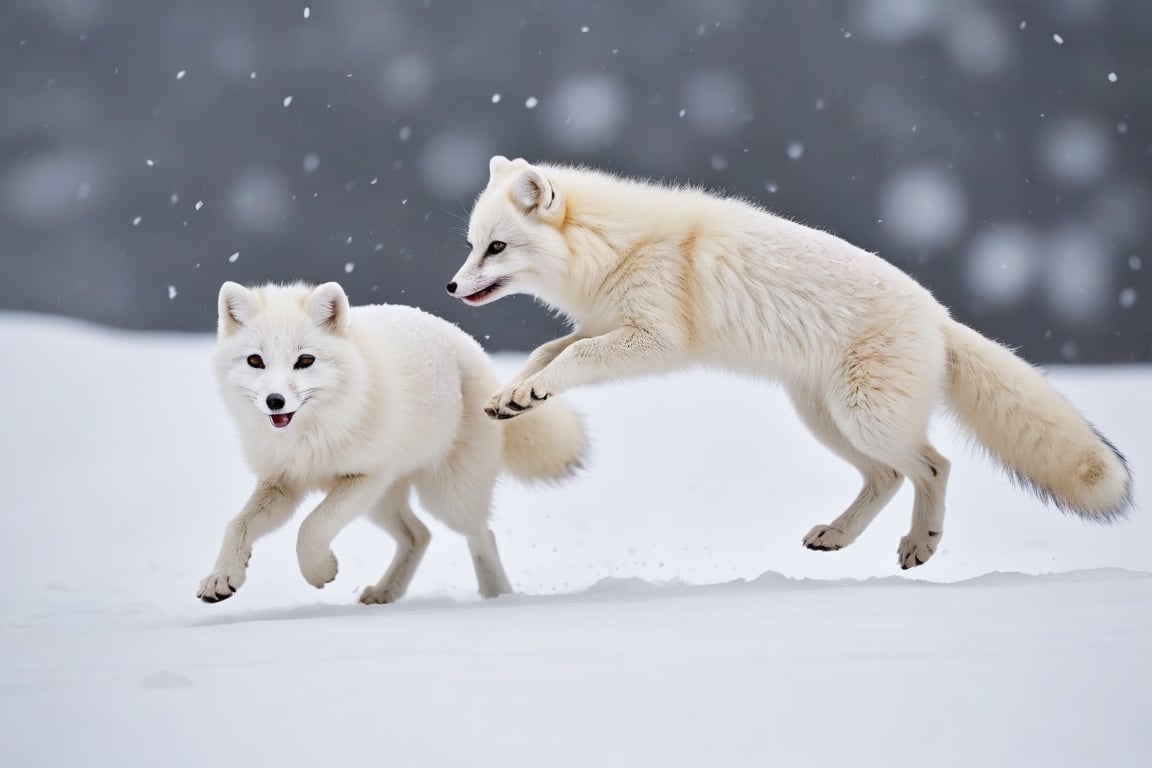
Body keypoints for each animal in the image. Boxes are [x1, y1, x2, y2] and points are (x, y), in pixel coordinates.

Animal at [197, 281, 585, 604]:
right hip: (382, 503)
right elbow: (238, 524)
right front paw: (222, 577)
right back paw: (386, 592)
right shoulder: (283, 482)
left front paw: (320, 572)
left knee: (479, 534)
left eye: (305, 360)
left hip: (443, 495)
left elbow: (312, 527)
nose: (274, 401)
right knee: (419, 534)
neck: (311, 433)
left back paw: (498, 595)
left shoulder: (366, 475)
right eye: (255, 360)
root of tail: (470, 345)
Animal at [447, 155, 1133, 569]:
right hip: (826, 420)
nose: (451, 288)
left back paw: (921, 544)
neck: (616, 247)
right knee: (890, 476)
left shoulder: (651, 340)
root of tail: (939, 318)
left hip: (864, 418)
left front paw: (530, 395)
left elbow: (574, 357)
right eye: (473, 245)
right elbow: (547, 352)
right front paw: (511, 397)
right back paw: (839, 535)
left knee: (934, 465)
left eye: (497, 247)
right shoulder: (602, 324)